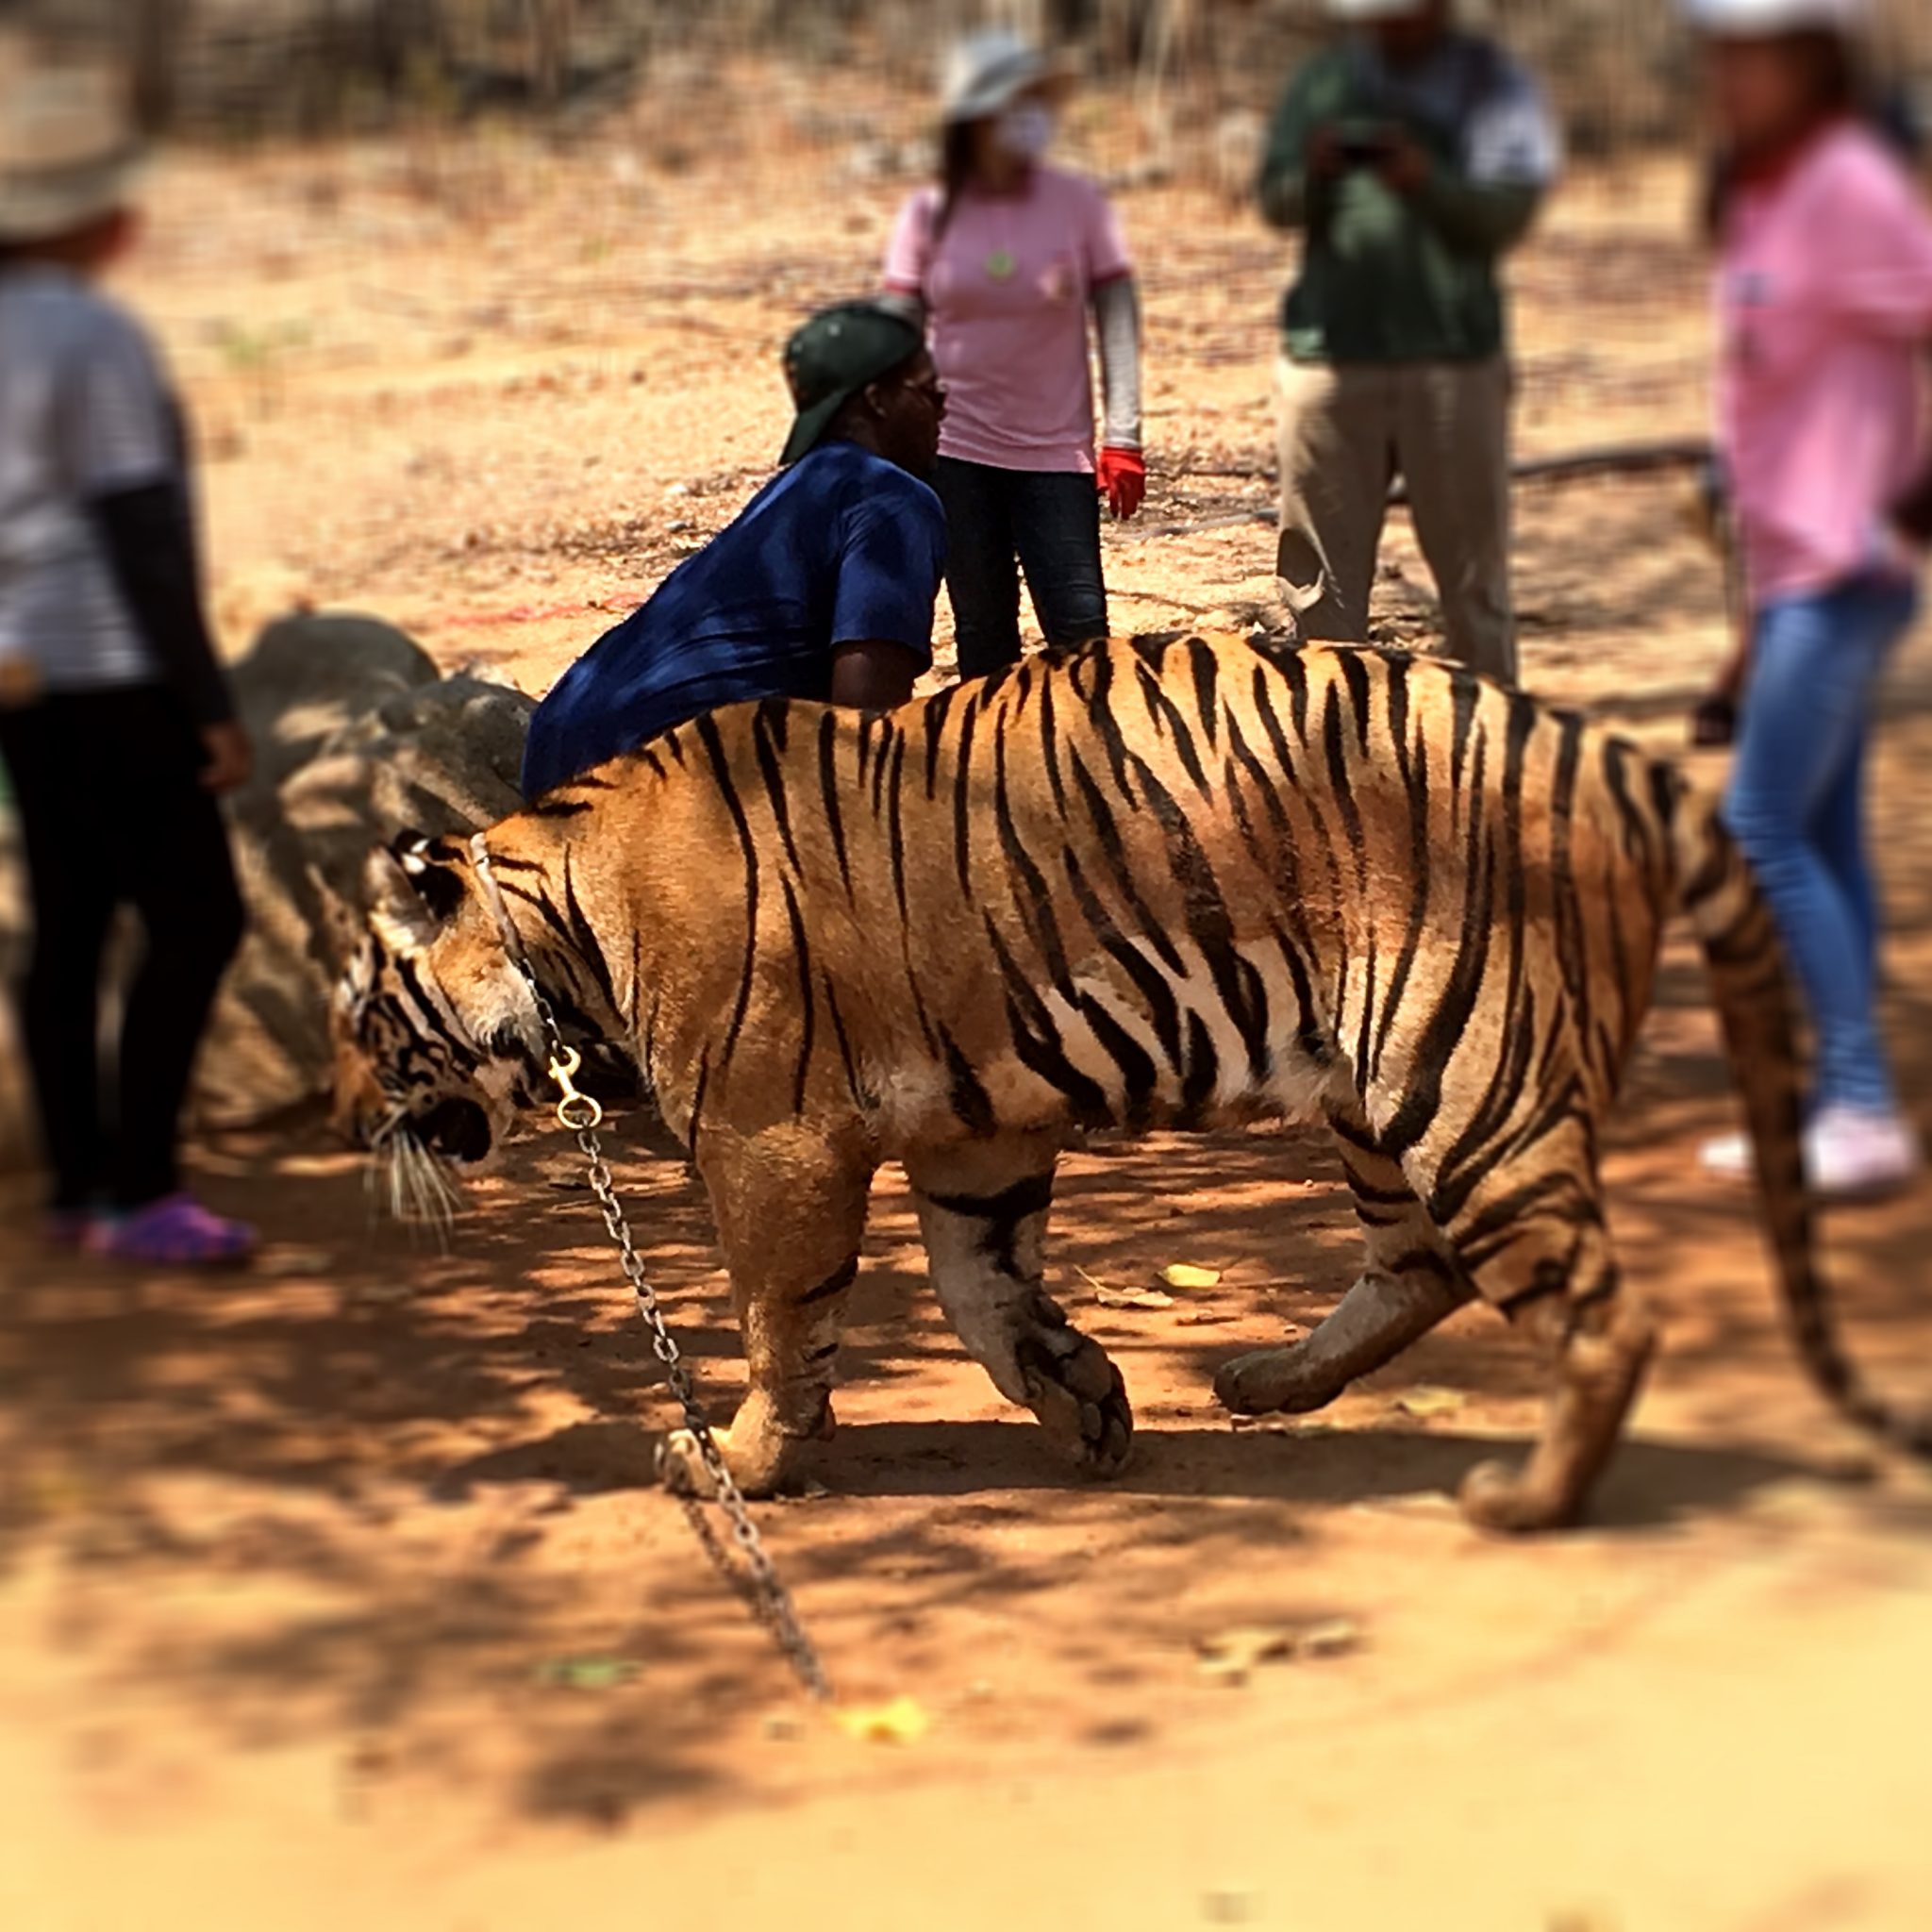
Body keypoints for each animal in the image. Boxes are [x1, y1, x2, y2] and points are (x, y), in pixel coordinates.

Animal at [331, 632, 1930, 1533]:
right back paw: (1270, 1381)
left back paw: (1524, 1502)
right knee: (1420, 1265)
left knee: (1602, 1313)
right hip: (1375, 1092)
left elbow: (780, 1322)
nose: (341, 1125)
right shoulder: (972, 1142)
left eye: (358, 1018)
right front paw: (1088, 1403)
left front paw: (744, 1460)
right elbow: (983, 1295)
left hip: (1465, 1080)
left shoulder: (771, 1147)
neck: (553, 918)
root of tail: (1606, 750)